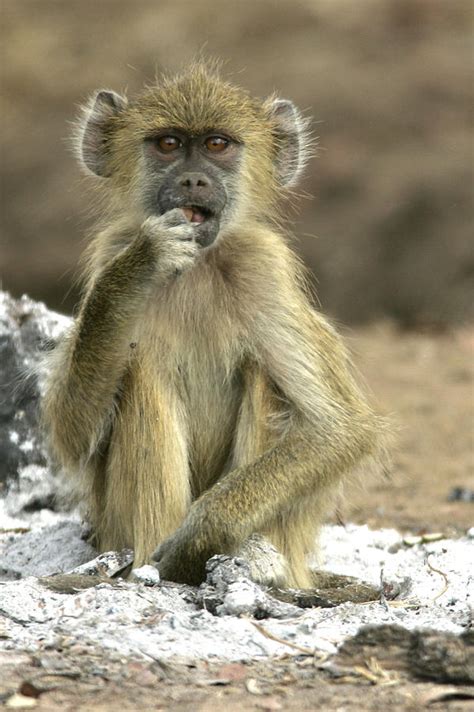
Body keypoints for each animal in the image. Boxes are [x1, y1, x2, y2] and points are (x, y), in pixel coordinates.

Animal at [41, 62, 387, 590]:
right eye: (167, 144)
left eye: (217, 144)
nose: (192, 181)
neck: (199, 265)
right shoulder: (109, 251)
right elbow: (73, 436)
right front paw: (141, 265)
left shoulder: (264, 267)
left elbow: (340, 428)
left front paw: (201, 535)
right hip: (114, 525)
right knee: (143, 372)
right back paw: (146, 569)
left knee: (262, 375)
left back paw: (247, 562)